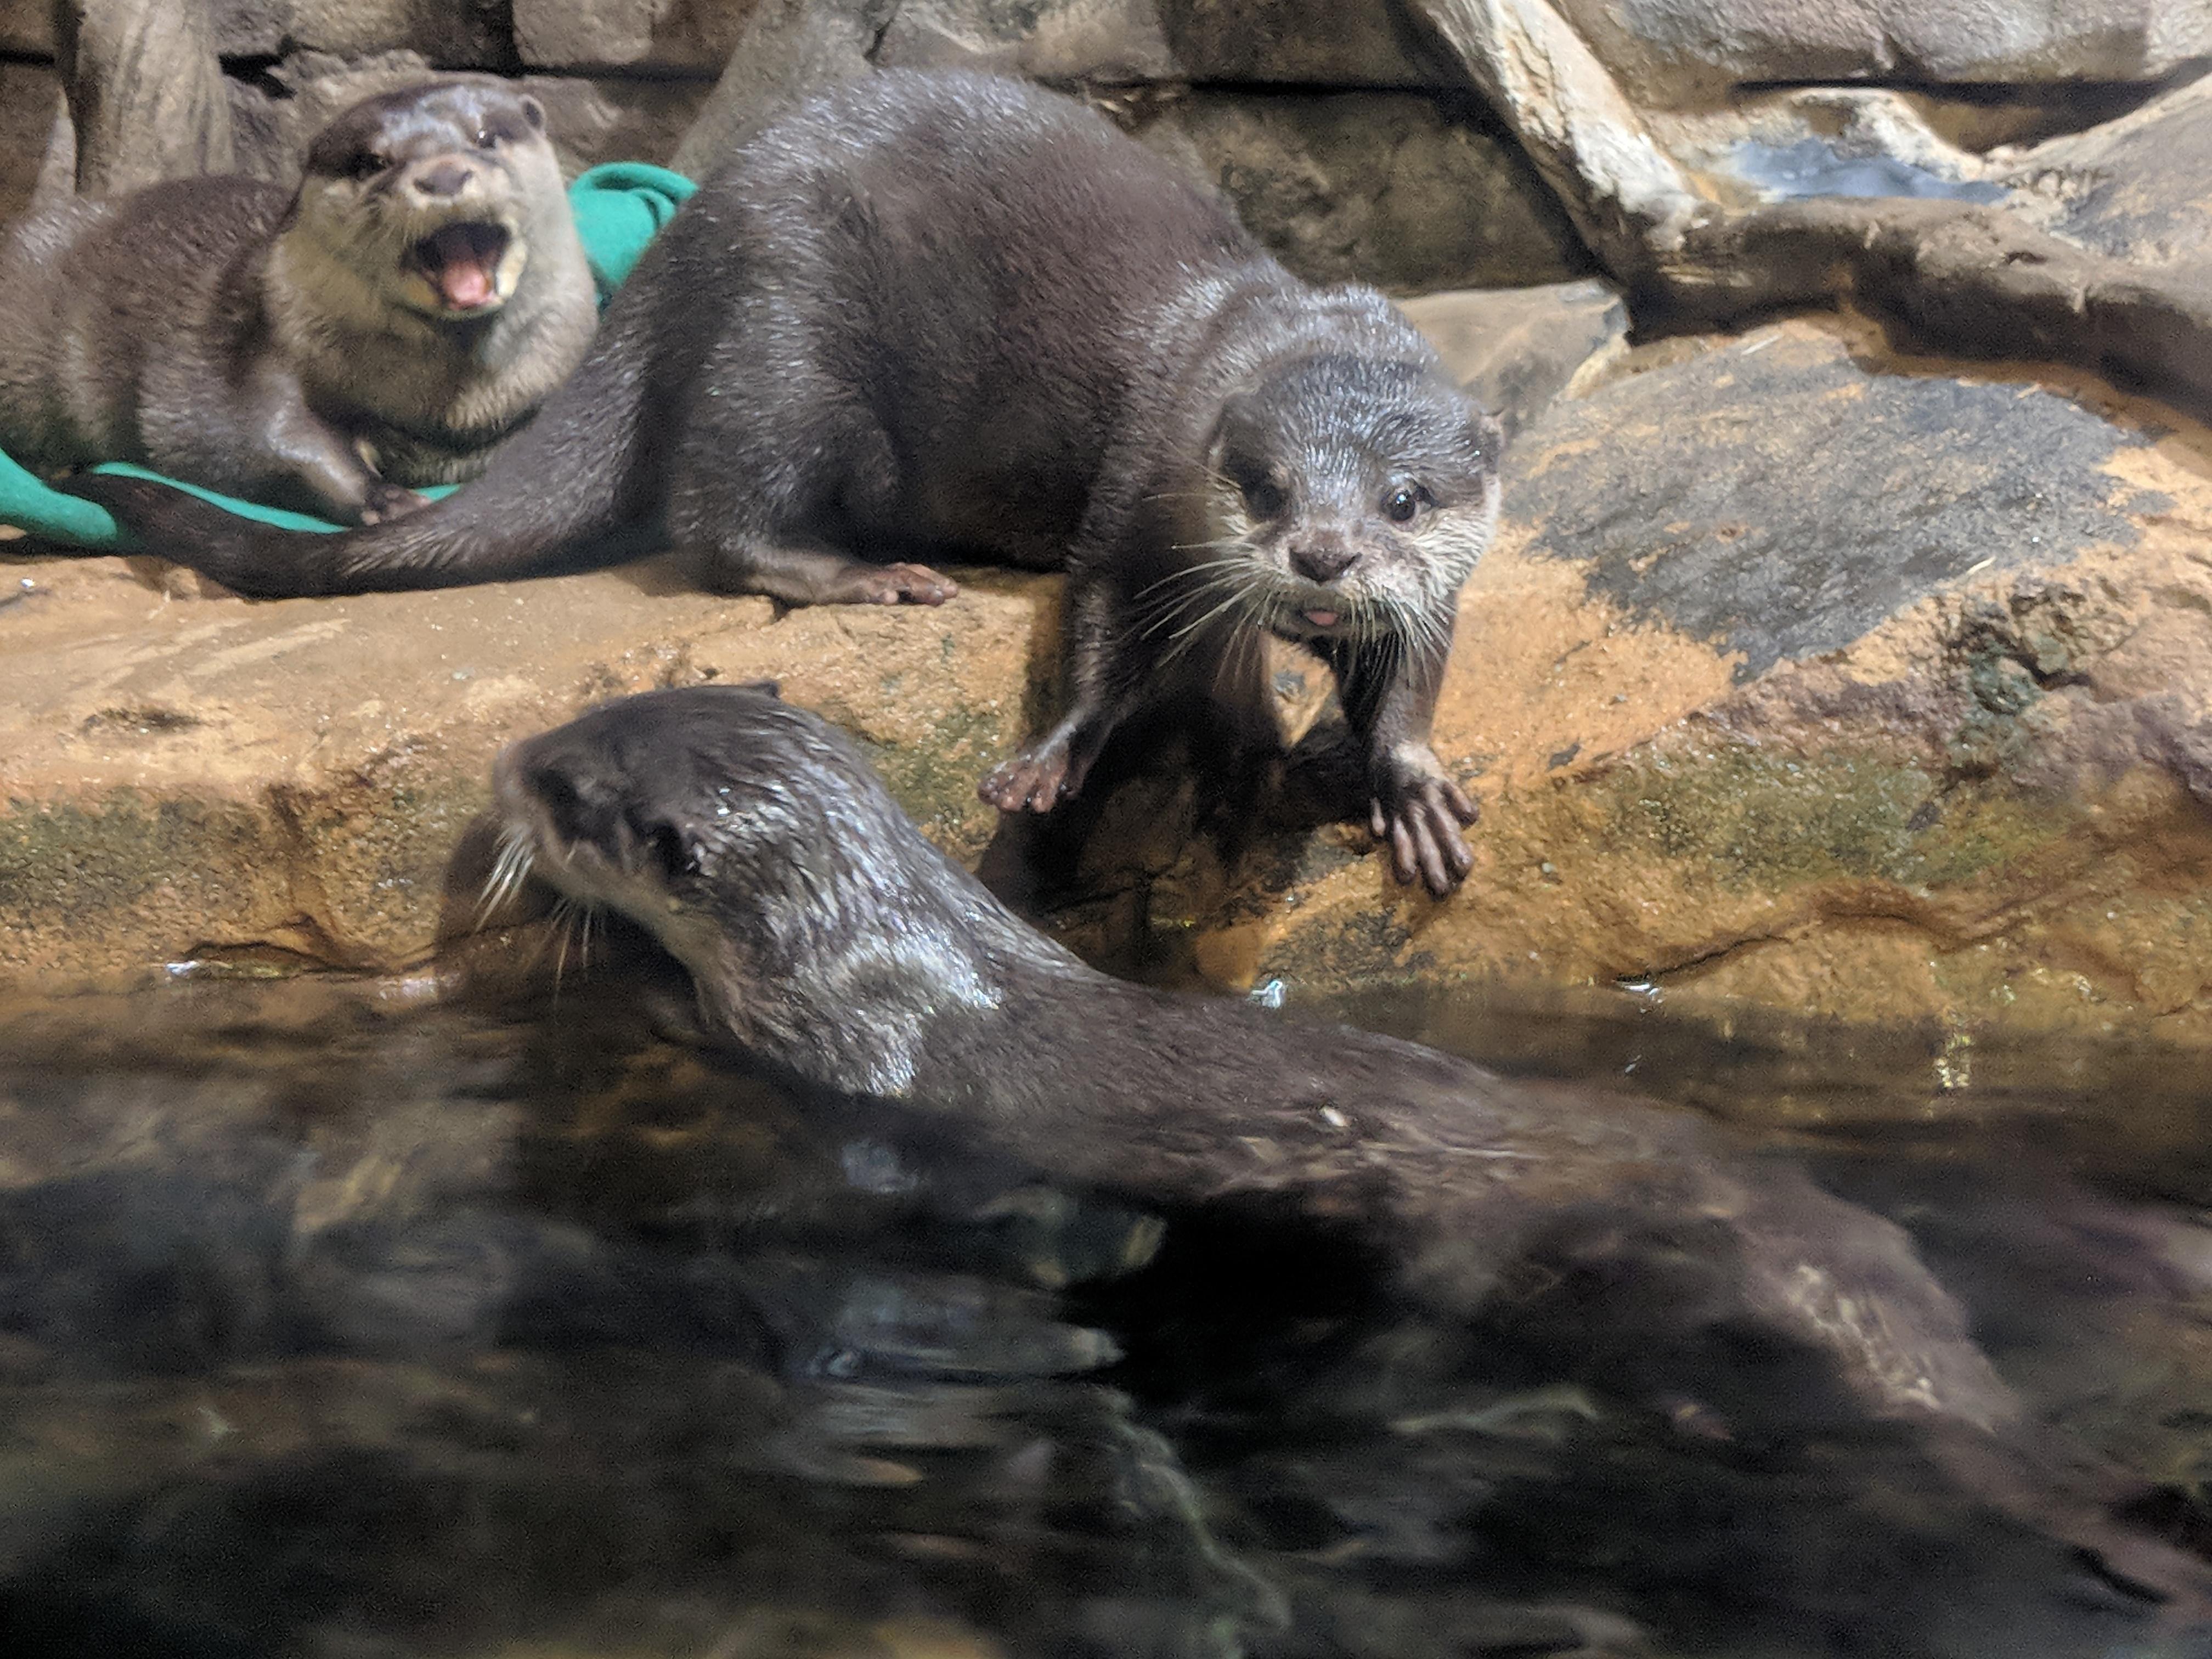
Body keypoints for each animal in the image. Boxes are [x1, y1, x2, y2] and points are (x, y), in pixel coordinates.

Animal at [1, 78, 596, 524]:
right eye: (372, 162)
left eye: (486, 136)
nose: (445, 174)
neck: (440, 410)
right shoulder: (258, 344)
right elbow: (257, 434)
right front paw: (385, 497)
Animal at [64, 71, 1496, 893]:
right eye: (1262, 487)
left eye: (1404, 502)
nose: (1322, 555)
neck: (1242, 331)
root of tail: (700, 220)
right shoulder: (1148, 479)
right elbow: (1098, 615)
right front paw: (1052, 759)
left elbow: (1417, 660)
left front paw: (1411, 781)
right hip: (791, 329)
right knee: (719, 511)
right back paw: (867, 576)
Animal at [481, 681, 2212, 1616]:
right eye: (588, 718)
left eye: (566, 788)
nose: (502, 763)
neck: (872, 945)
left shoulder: (836, 1052)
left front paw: (629, 990)